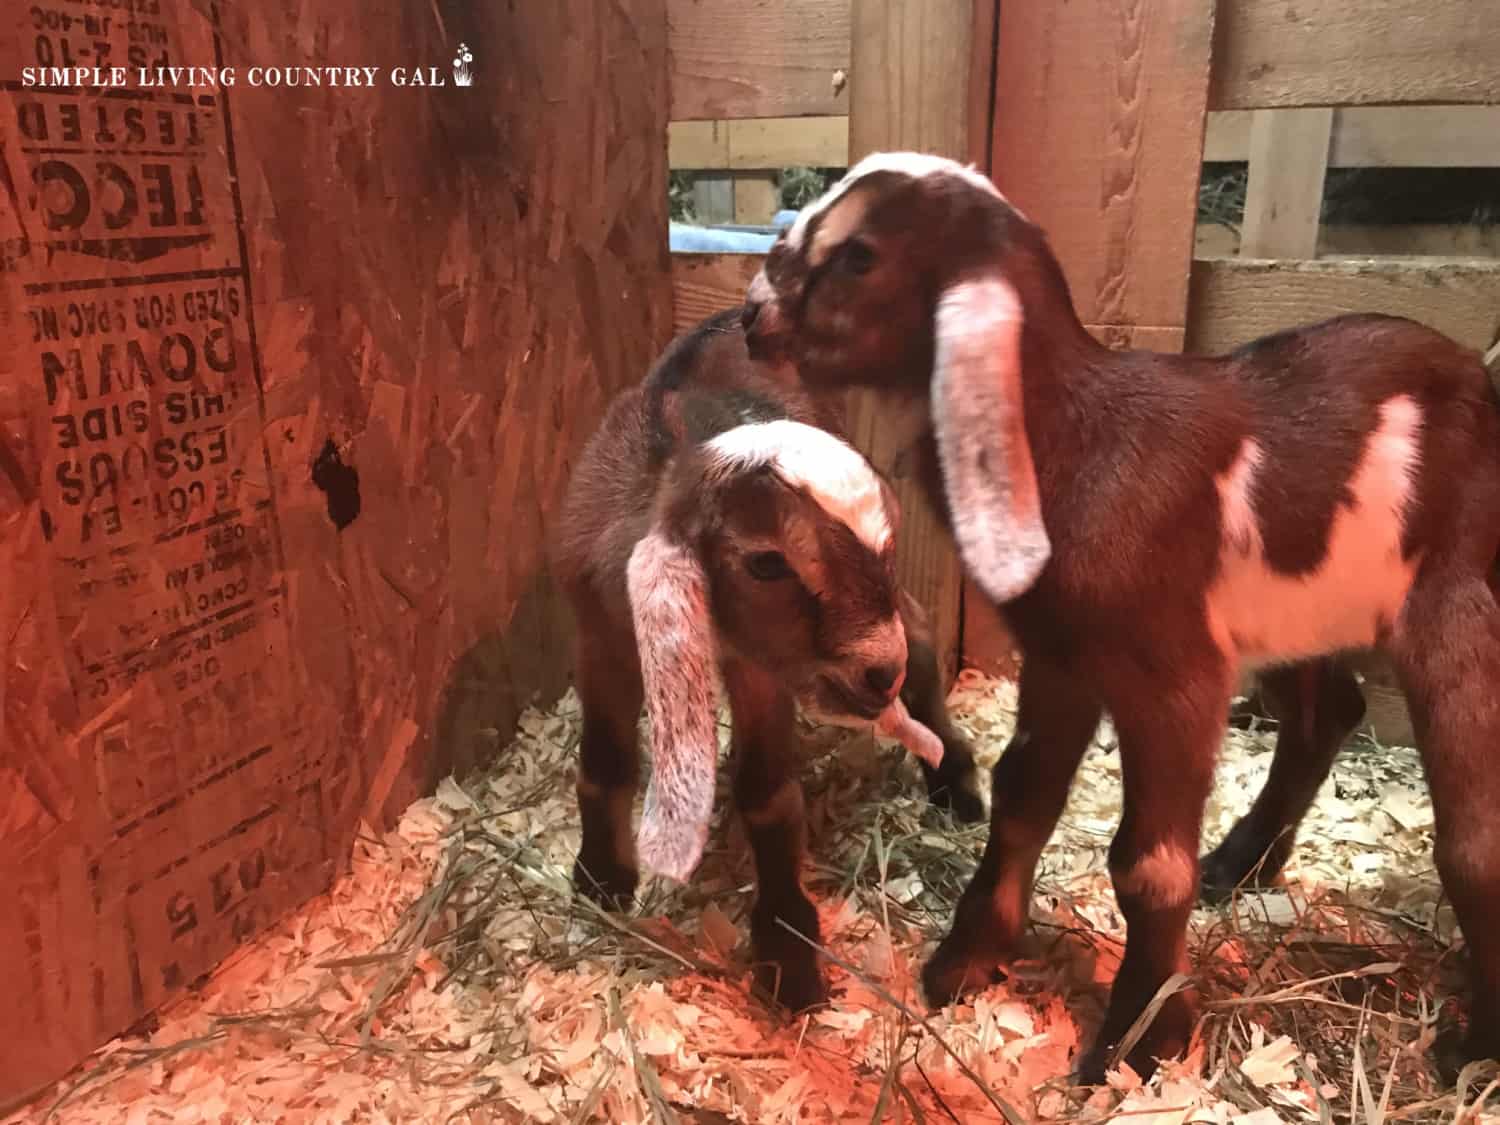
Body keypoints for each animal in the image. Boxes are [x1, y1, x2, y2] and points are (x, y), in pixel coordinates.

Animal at [550, 306, 985, 1012]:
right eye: (766, 562)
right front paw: (600, 875)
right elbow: (606, 758)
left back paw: (955, 783)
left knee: (918, 629)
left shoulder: (765, 672)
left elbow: (767, 795)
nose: (878, 673)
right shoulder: (598, 634)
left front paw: (788, 949)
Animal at [738, 151, 1500, 1081]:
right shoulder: (1063, 656)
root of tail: (1478, 375)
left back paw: (1475, 1042)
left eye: (859, 256)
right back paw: (1239, 864)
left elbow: (1149, 866)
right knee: (1329, 711)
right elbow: (1023, 794)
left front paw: (1137, 1039)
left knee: (1473, 834)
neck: (1082, 438)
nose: (752, 316)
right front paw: (967, 959)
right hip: (1299, 615)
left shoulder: (1172, 675)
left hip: (1453, 598)